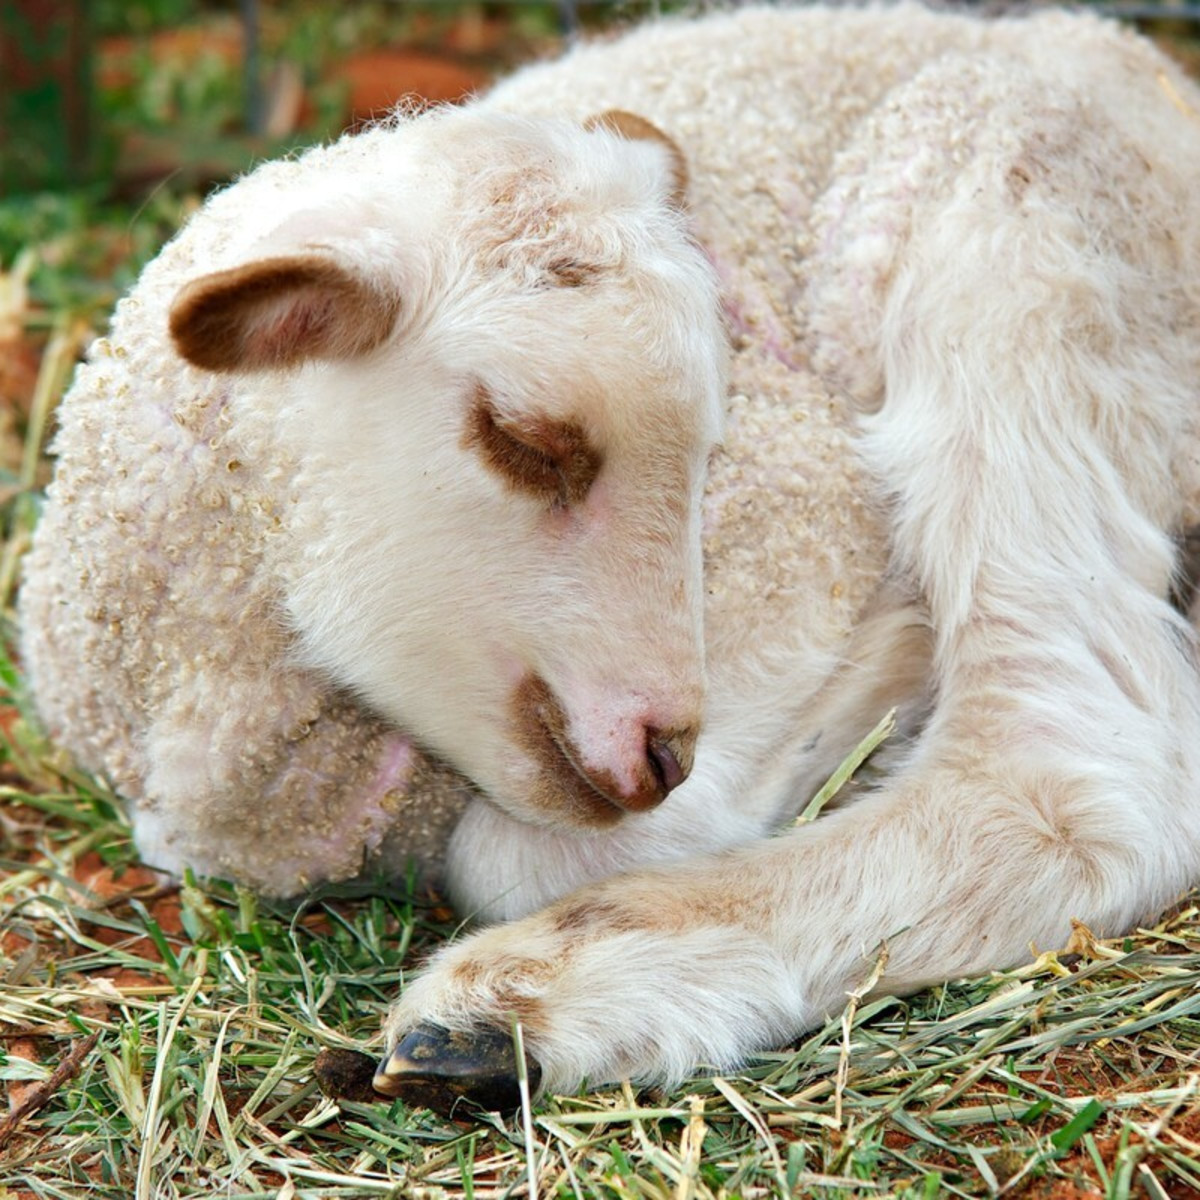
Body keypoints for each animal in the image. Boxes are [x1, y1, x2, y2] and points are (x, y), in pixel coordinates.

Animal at [19, 1, 1200, 1108]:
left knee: (1076, 764)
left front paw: (879, 672)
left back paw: (523, 1007)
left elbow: (506, 854)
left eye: (716, 444)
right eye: (527, 440)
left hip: (1015, 244)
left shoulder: (806, 520)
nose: (666, 753)